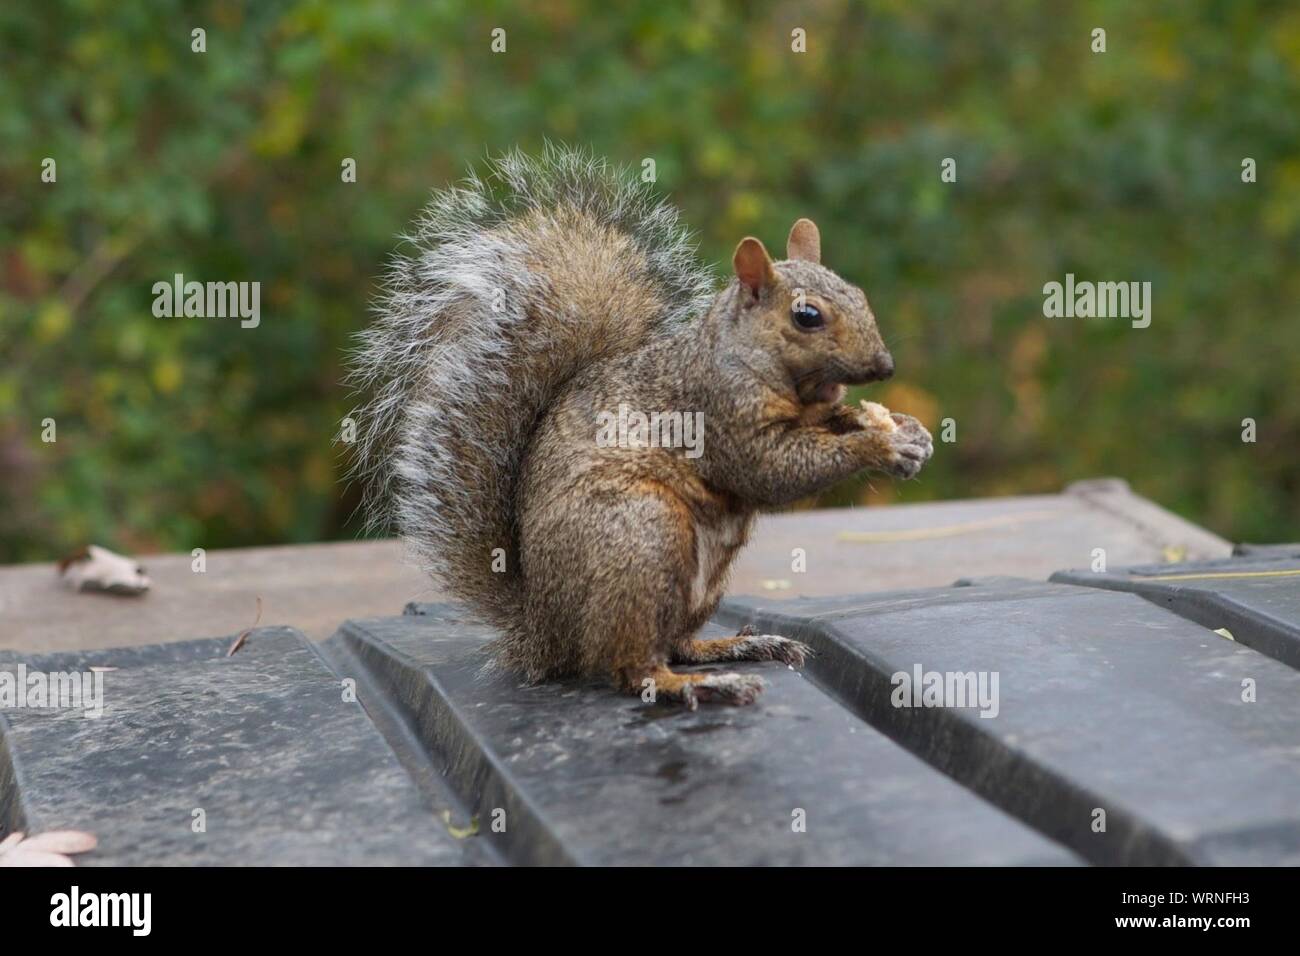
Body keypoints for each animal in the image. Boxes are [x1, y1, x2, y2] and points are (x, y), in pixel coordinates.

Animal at [346, 146, 933, 709]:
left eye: (859, 294)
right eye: (806, 316)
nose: (885, 367)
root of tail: (544, 632)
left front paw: (909, 431)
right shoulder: (718, 413)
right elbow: (771, 470)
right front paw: (879, 444)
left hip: (698, 577)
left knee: (676, 643)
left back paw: (738, 646)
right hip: (643, 536)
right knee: (632, 665)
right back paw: (694, 686)